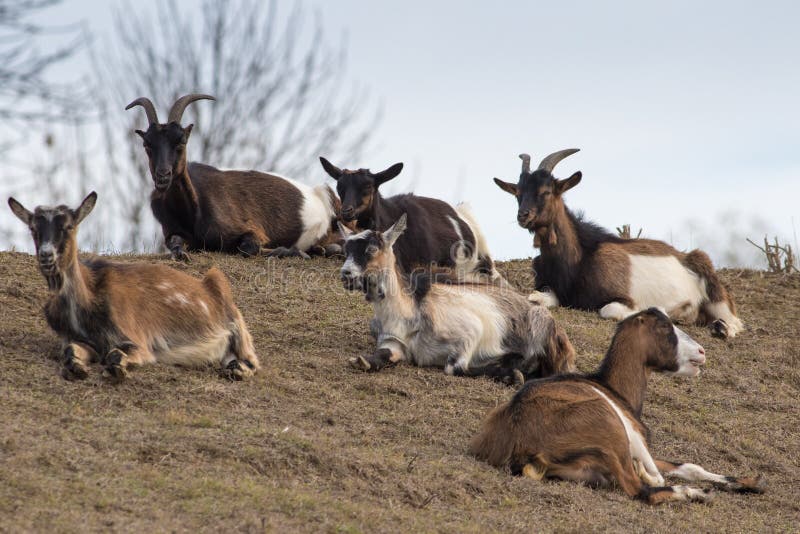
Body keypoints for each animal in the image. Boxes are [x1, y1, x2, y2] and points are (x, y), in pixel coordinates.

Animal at [8, 192, 260, 381]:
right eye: (33, 229)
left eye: (68, 226)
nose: (46, 256)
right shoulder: (82, 340)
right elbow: (70, 351)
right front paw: (78, 368)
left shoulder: (139, 340)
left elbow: (117, 355)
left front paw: (116, 371)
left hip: (235, 321)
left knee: (252, 361)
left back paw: (237, 369)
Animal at [126, 95, 341, 261]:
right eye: (147, 145)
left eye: (181, 141)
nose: (163, 176)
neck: (194, 211)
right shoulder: (173, 231)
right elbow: (176, 245)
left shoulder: (251, 230)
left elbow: (249, 248)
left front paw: (292, 251)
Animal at [338, 214, 575, 382]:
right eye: (347, 249)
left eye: (372, 248)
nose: (345, 274)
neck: (409, 312)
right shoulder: (393, 342)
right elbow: (381, 355)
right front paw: (361, 361)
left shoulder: (469, 333)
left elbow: (455, 368)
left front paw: (511, 374)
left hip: (540, 326)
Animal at [470, 308, 764, 504]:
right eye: (664, 328)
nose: (701, 352)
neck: (610, 386)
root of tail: (521, 443)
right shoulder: (633, 437)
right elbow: (660, 473)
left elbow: (690, 466)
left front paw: (751, 482)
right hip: (610, 429)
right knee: (640, 490)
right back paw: (696, 493)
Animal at [493, 149, 743, 338]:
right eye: (518, 193)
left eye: (546, 191)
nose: (523, 216)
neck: (579, 259)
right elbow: (535, 298)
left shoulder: (621, 298)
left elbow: (609, 309)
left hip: (713, 286)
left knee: (734, 321)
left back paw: (721, 328)